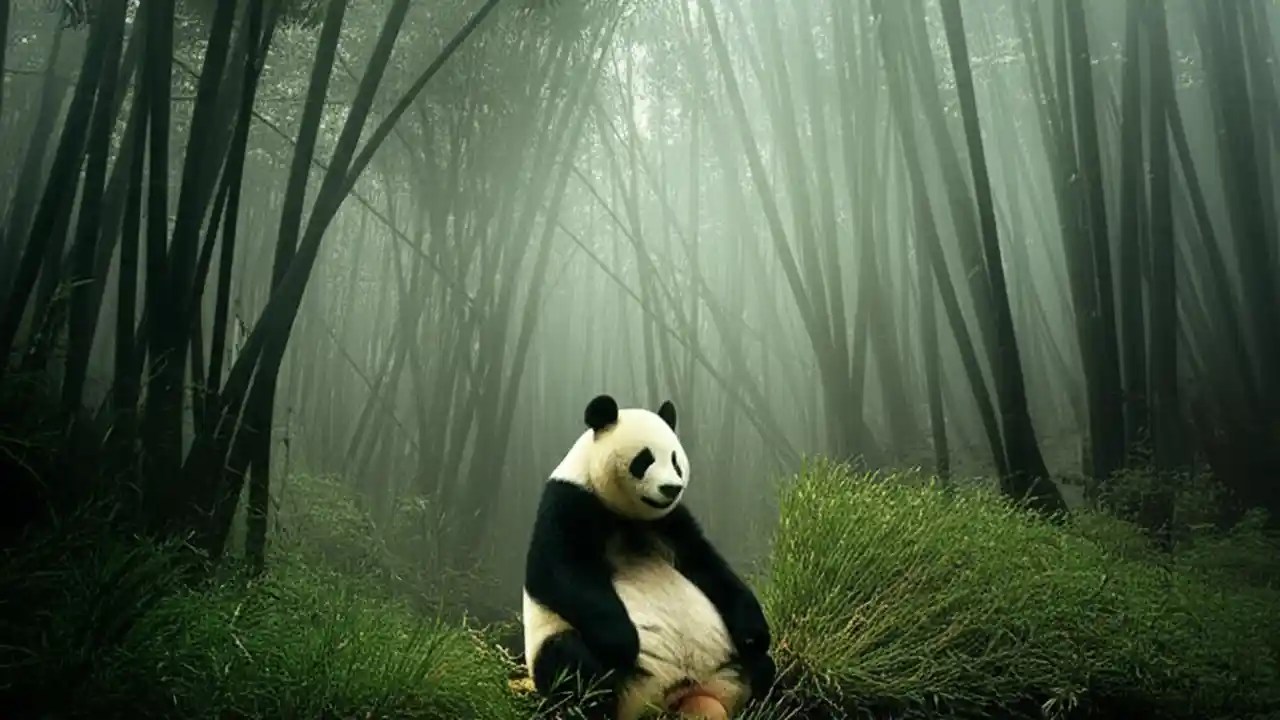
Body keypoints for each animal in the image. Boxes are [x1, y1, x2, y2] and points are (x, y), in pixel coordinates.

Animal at [521, 394, 775, 720]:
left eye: (676, 461)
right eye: (645, 460)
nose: (671, 488)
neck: (627, 515)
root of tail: (673, 696)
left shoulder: (671, 522)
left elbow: (708, 565)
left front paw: (754, 632)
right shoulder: (569, 501)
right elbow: (559, 572)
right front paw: (623, 642)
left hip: (728, 667)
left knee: (762, 669)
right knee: (571, 664)